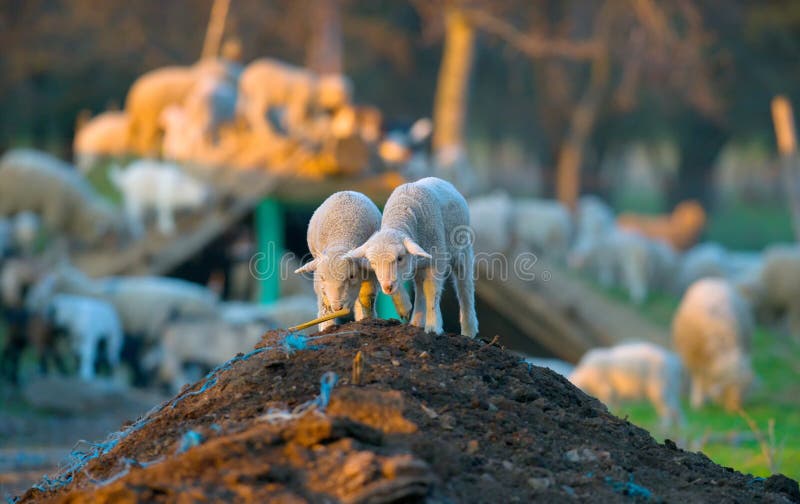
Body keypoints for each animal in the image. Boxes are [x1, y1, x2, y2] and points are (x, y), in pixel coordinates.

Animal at [294, 191, 399, 331]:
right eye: (322, 278)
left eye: (352, 276)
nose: (338, 307)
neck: (342, 237)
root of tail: (348, 192)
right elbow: (324, 305)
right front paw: (327, 327)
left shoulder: (369, 272)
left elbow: (366, 297)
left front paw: (367, 320)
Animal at [344, 177, 478, 337]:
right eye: (373, 263)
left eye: (400, 258)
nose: (387, 287)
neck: (401, 213)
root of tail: (441, 180)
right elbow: (404, 285)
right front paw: (404, 307)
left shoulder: (436, 259)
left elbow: (432, 291)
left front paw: (433, 326)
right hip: (420, 264)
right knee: (420, 288)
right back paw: (416, 321)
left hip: (463, 249)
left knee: (465, 287)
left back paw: (469, 330)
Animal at [672, 277, 754, 411]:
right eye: (727, 387)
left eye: (743, 389)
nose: (735, 408)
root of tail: (712, 279)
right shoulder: (696, 357)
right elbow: (699, 379)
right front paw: (697, 402)